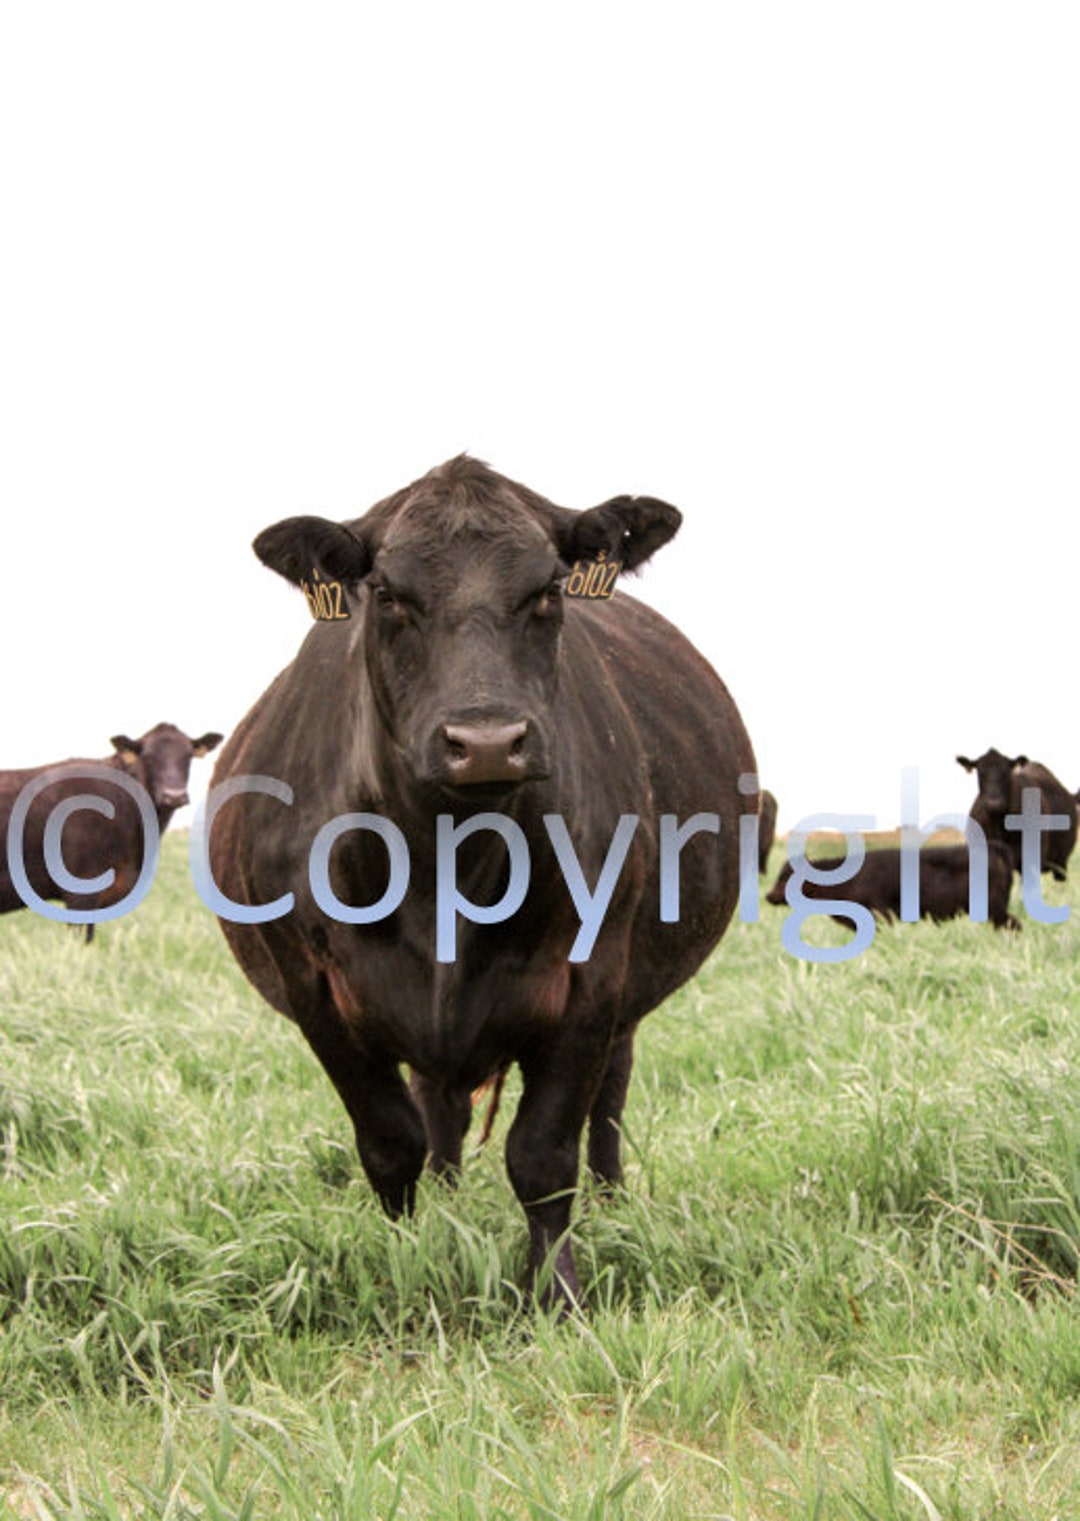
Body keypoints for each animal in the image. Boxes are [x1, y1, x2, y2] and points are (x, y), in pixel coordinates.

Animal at [206, 455, 756, 1312]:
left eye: (549, 589)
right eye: (387, 594)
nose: (488, 741)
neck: (447, 864)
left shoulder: (590, 981)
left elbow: (544, 1156)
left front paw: (557, 1294)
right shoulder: (316, 991)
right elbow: (390, 1145)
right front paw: (406, 1265)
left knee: (608, 1097)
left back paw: (613, 1203)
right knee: (439, 1108)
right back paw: (448, 1198)